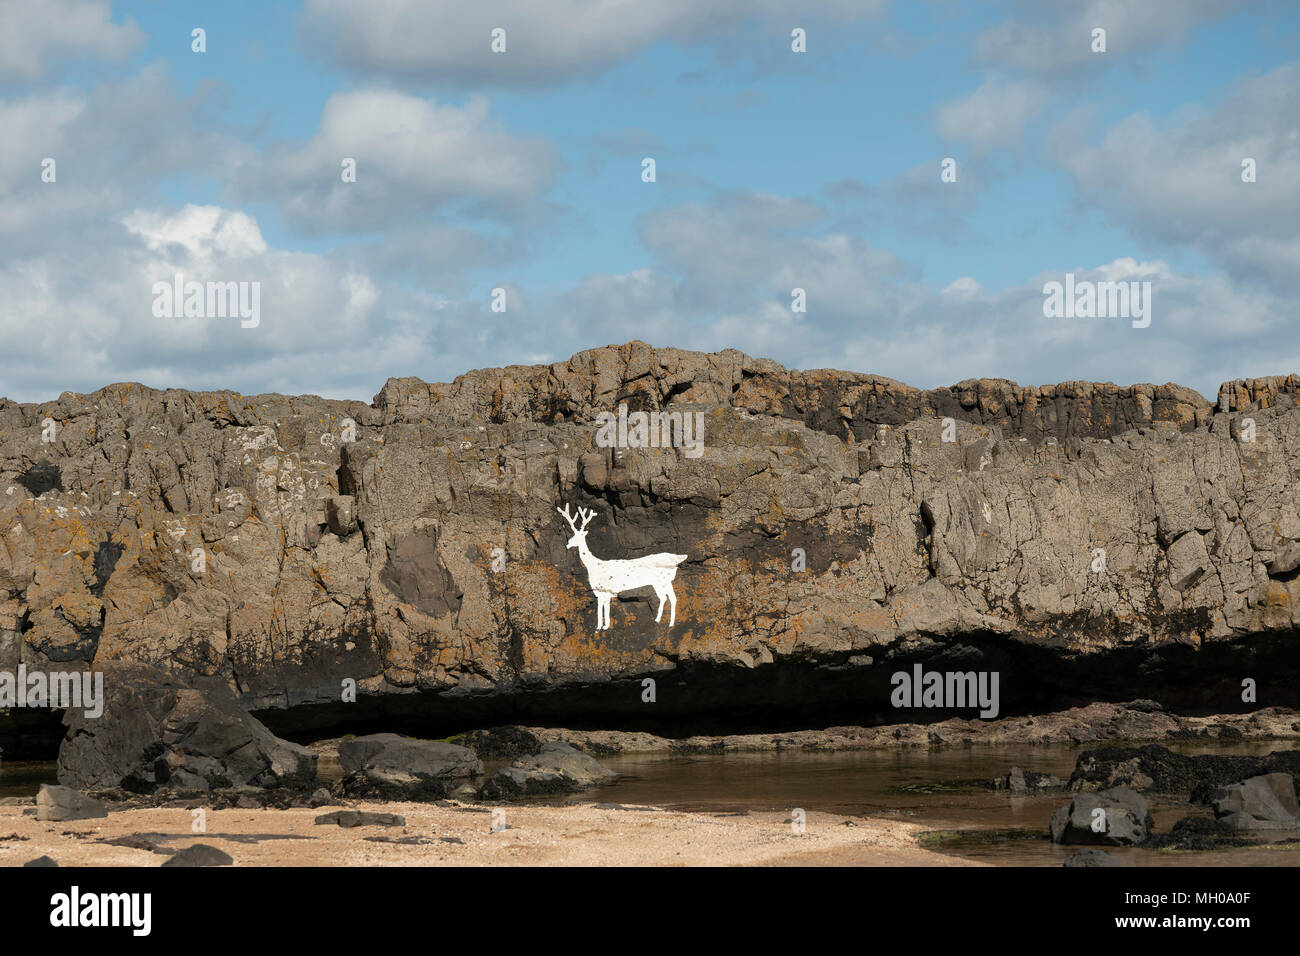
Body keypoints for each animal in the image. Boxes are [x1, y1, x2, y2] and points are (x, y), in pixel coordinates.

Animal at [557, 502, 688, 630]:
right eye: (573, 535)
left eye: (578, 536)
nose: (567, 544)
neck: (593, 566)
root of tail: (677, 558)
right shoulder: (599, 591)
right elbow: (600, 608)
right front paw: (599, 626)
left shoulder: (605, 589)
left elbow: (605, 608)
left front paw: (605, 626)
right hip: (661, 582)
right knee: (667, 598)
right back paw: (661, 621)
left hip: (663, 580)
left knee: (669, 598)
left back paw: (667, 622)